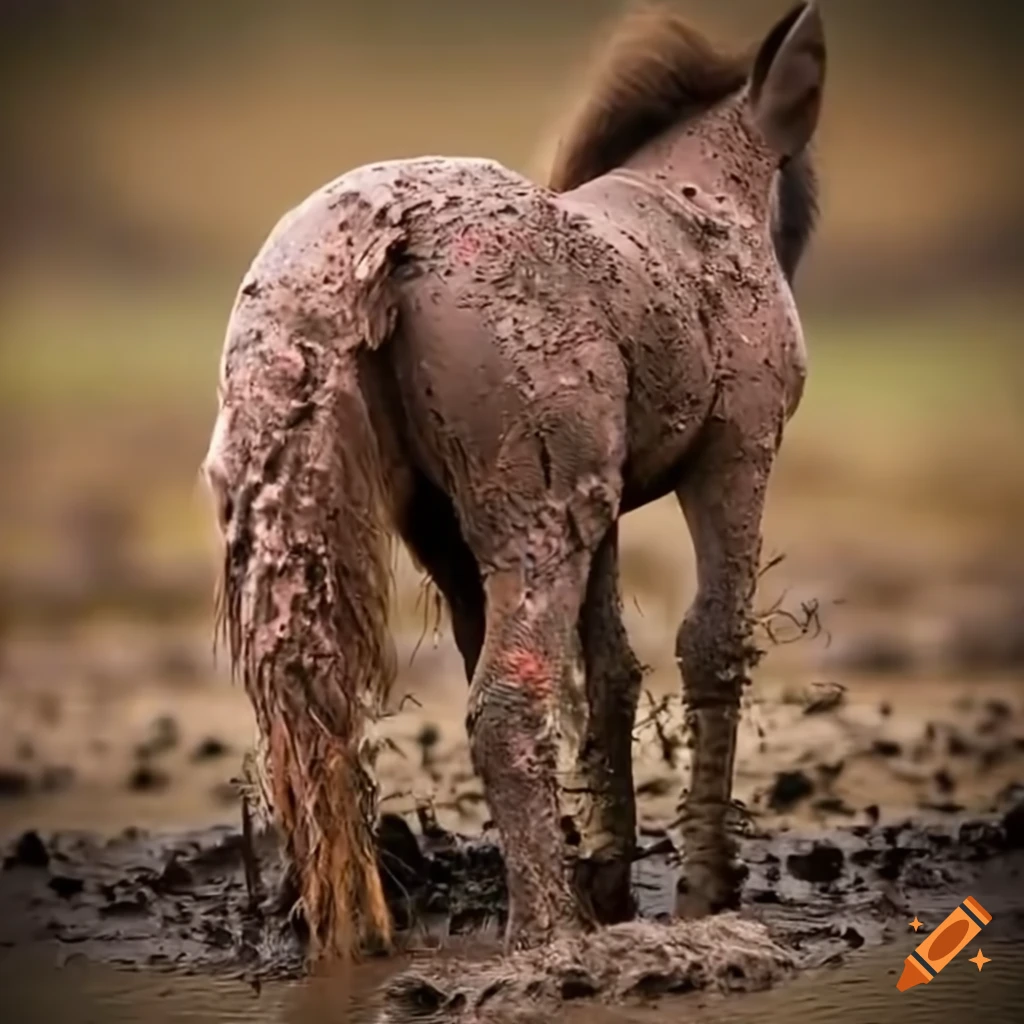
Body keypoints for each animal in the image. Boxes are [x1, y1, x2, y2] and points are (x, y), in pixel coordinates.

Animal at [202, 1, 825, 963]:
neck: (697, 194)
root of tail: (378, 234)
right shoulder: (738, 451)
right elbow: (712, 644)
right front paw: (704, 893)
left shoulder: (606, 502)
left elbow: (611, 672)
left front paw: (612, 880)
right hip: (537, 519)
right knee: (502, 705)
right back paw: (549, 932)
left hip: (432, 524)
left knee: (323, 725)